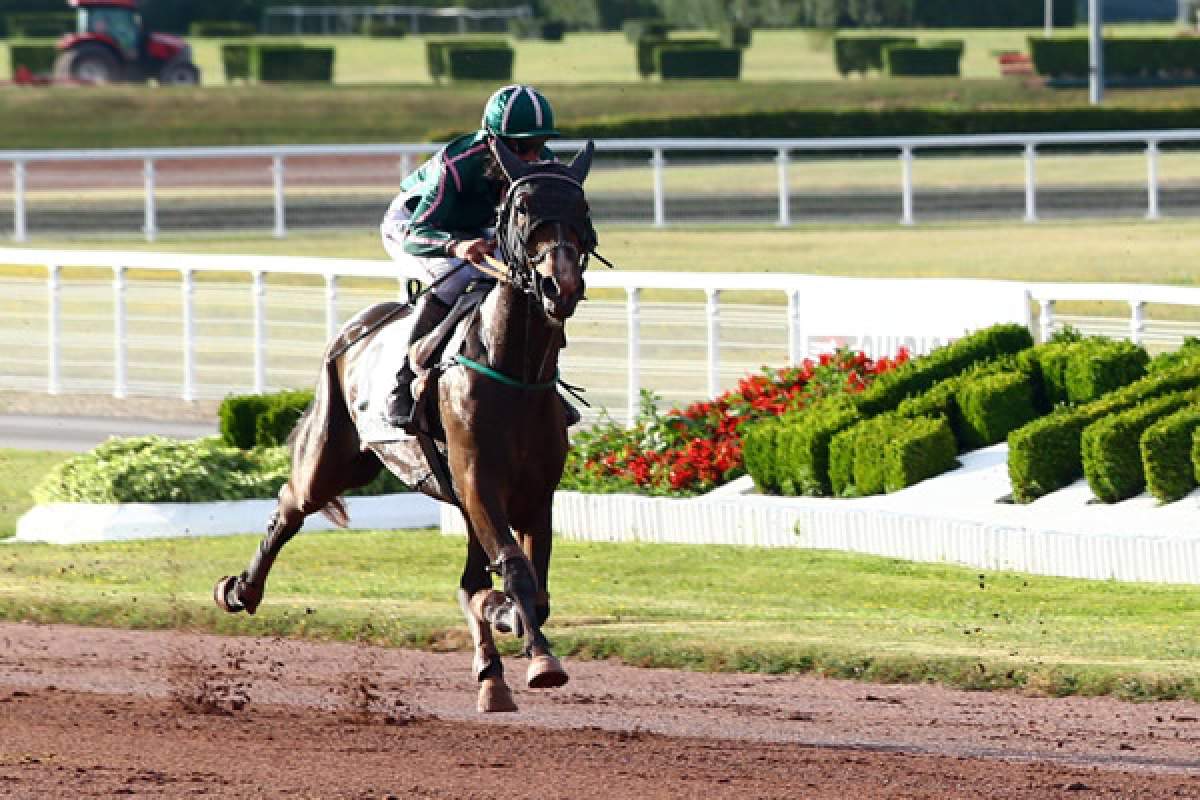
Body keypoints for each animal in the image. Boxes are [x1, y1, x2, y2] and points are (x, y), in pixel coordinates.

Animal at [212, 138, 597, 713]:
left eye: (583, 210)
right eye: (523, 208)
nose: (561, 284)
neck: (514, 370)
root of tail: (356, 328)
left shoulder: (531, 492)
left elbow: (530, 587)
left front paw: (505, 623)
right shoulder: (479, 481)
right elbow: (514, 570)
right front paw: (541, 658)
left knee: (468, 581)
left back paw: (491, 675)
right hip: (335, 458)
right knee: (290, 504)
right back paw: (240, 589)